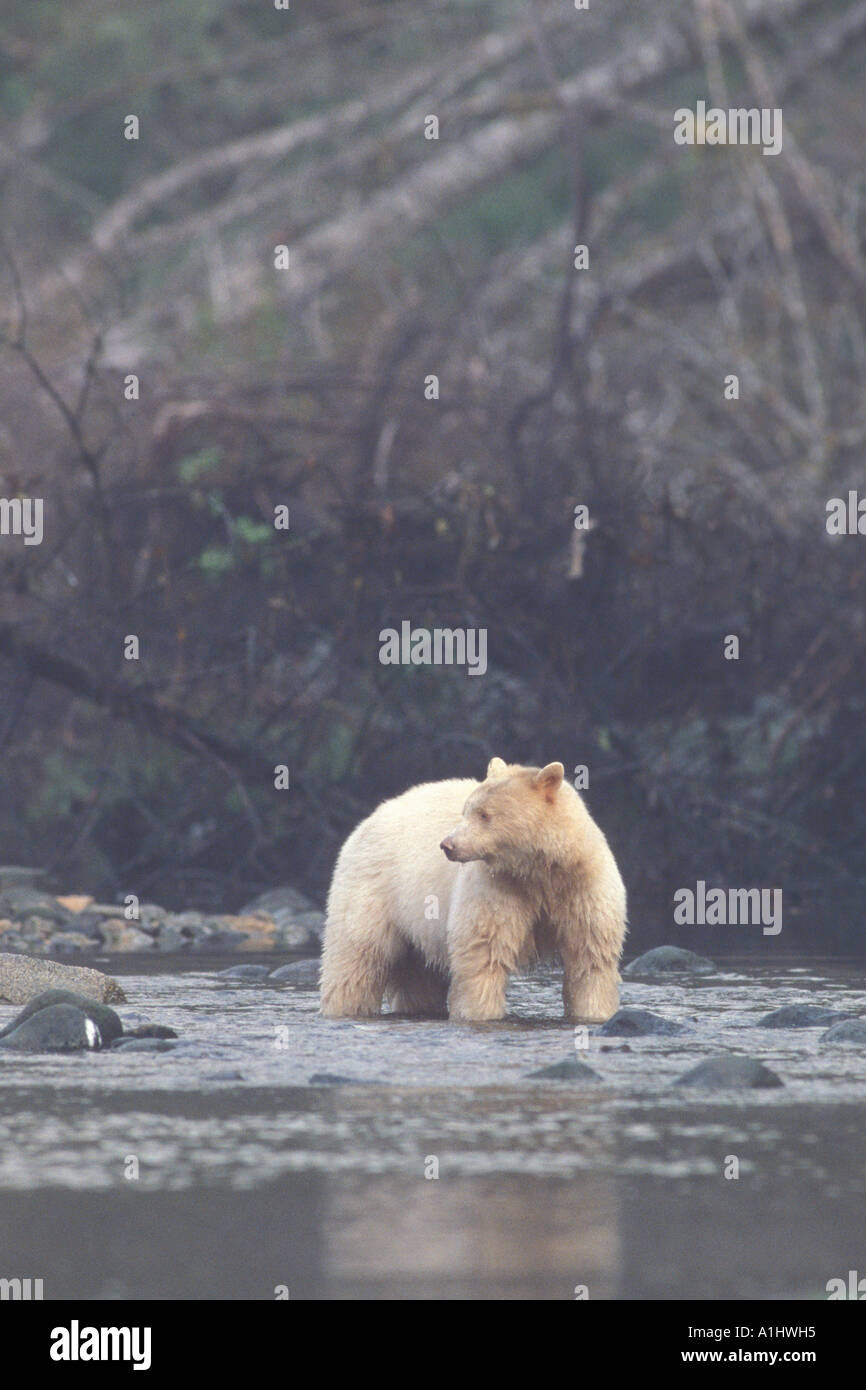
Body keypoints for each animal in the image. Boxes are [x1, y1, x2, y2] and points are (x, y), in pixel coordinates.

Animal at [319, 757, 626, 1022]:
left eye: (484, 814)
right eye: (466, 810)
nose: (447, 845)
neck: (539, 870)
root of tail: (370, 817)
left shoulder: (581, 887)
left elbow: (590, 958)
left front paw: (594, 1013)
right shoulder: (497, 886)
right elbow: (484, 953)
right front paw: (478, 1013)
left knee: (416, 975)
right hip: (371, 888)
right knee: (357, 959)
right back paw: (345, 1007)